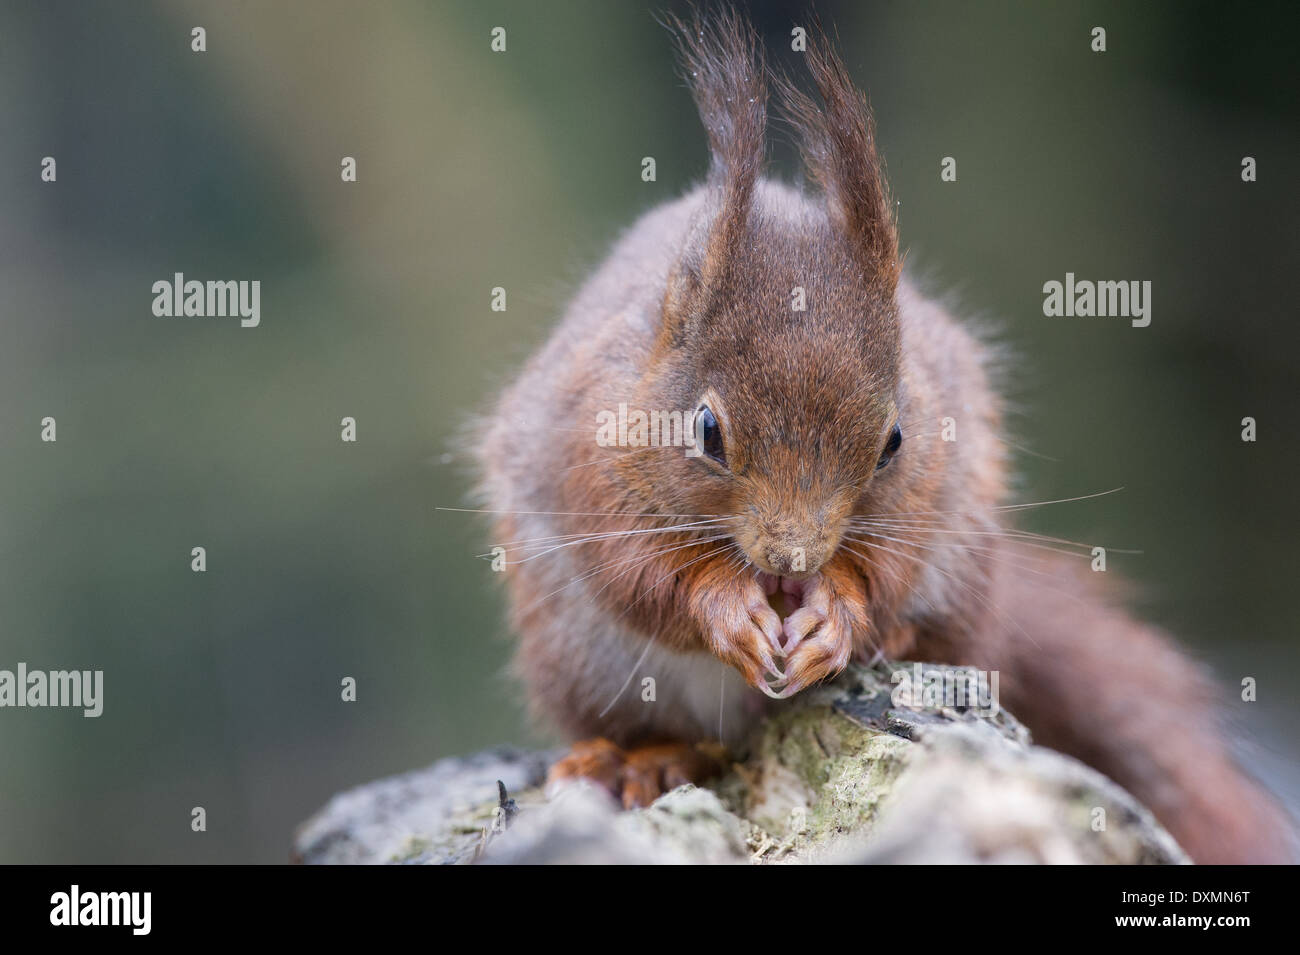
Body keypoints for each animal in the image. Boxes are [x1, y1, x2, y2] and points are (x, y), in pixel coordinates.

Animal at [476, 10, 1293, 863]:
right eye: (705, 430)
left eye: (894, 439)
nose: (793, 561)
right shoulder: (583, 456)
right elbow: (638, 571)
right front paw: (725, 605)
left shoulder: (931, 485)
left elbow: (887, 564)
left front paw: (839, 612)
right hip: (579, 658)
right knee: (662, 728)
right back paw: (643, 758)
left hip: (966, 581)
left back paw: (890, 640)